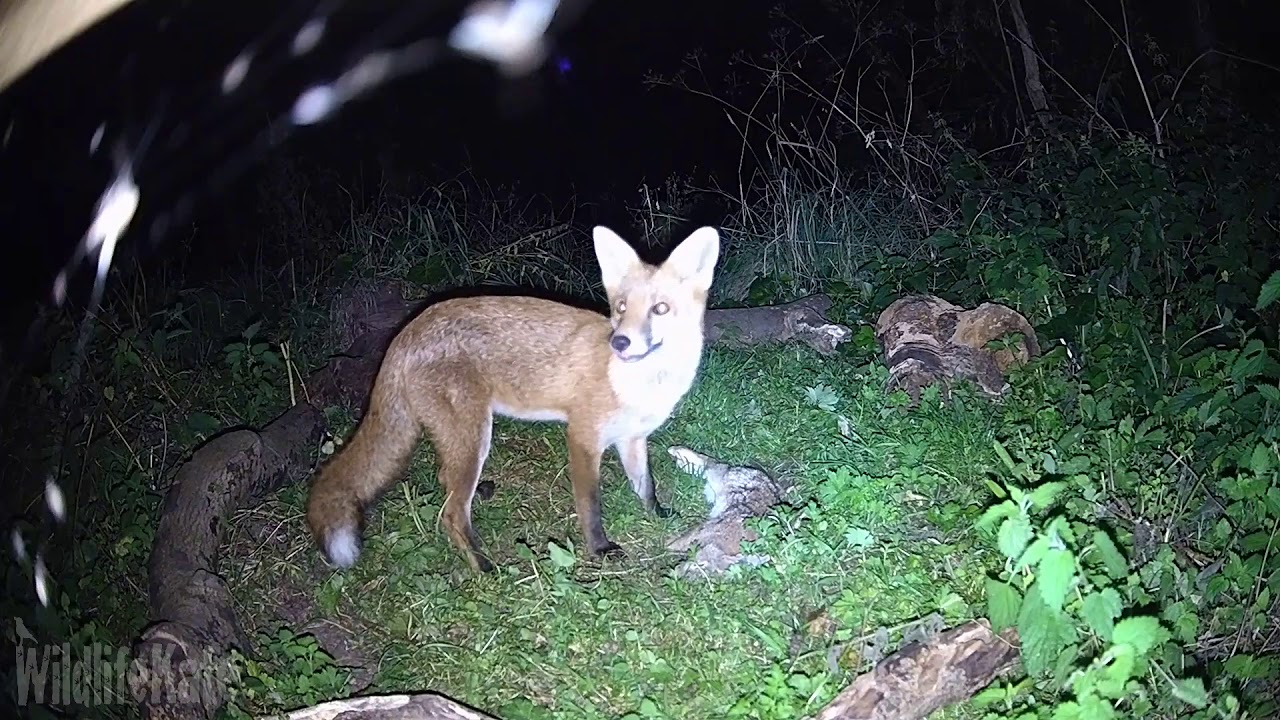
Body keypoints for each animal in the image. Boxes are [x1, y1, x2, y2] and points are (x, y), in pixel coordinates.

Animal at [305, 225, 721, 573]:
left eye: (660, 308)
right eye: (621, 308)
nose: (619, 342)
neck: (644, 383)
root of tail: (405, 331)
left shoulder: (632, 438)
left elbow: (645, 485)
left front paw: (657, 514)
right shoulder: (583, 438)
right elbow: (590, 506)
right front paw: (600, 549)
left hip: (462, 440)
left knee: (445, 481)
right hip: (475, 436)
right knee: (451, 512)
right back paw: (483, 567)